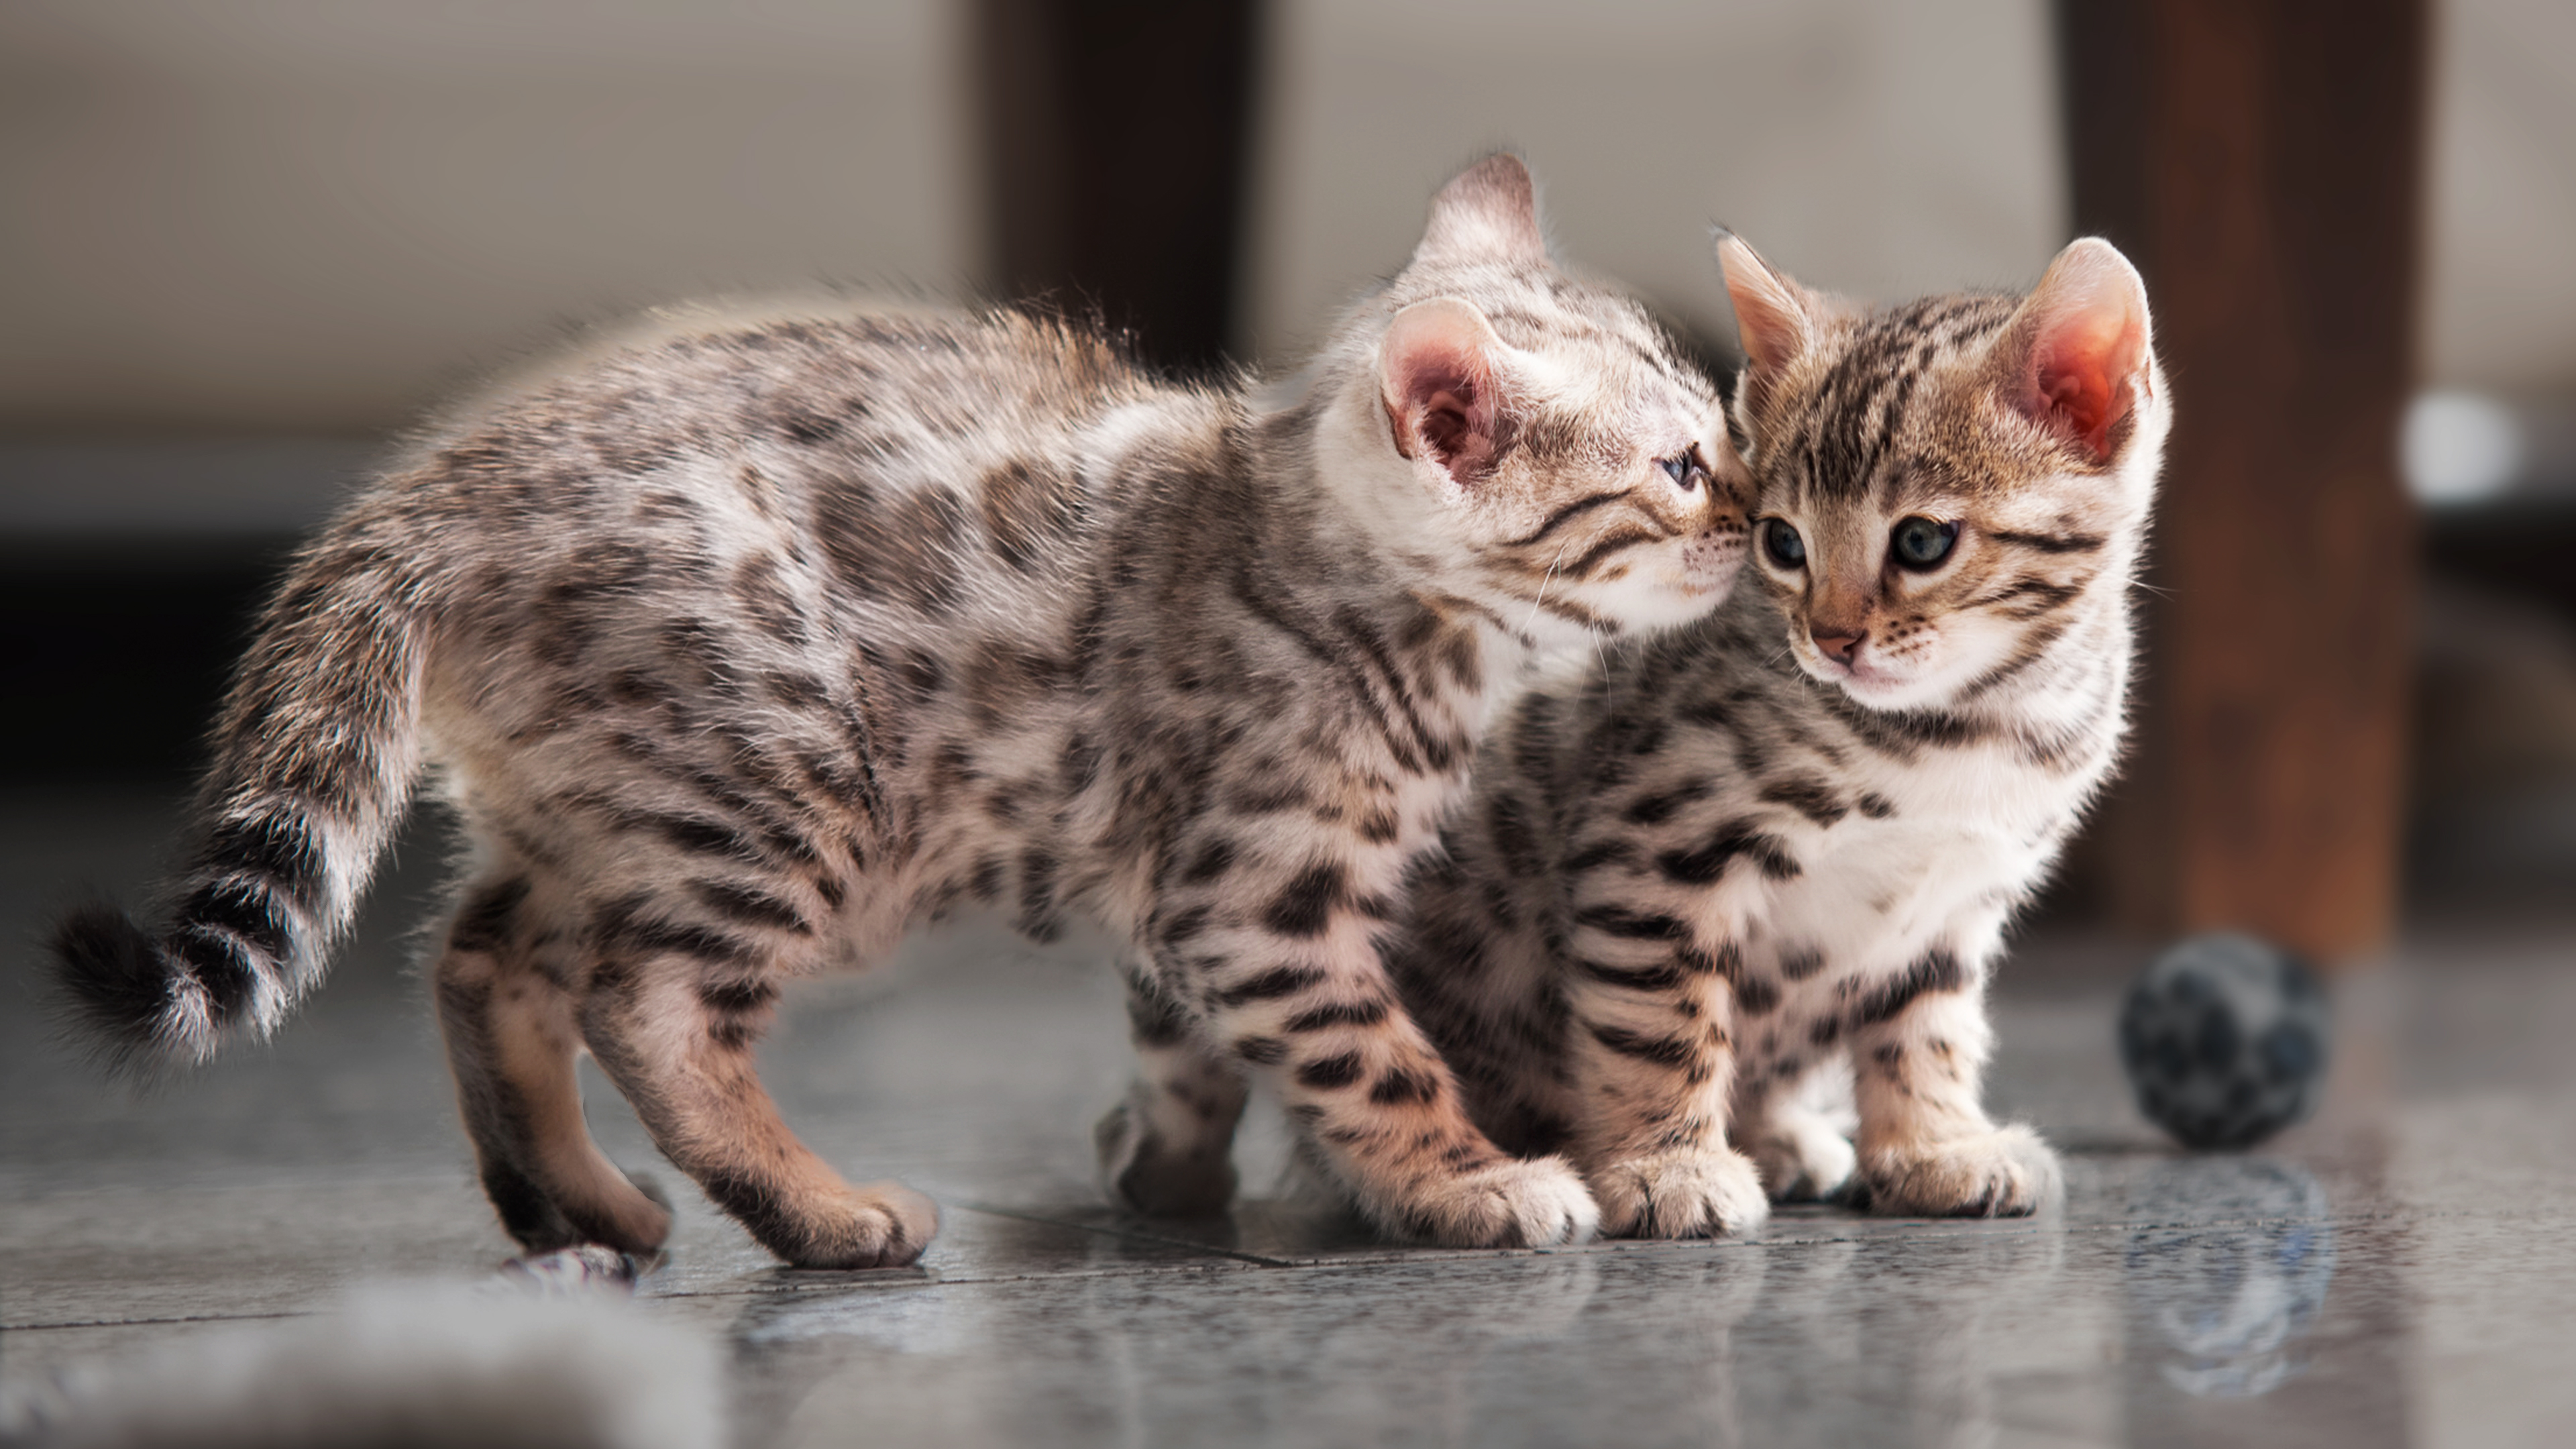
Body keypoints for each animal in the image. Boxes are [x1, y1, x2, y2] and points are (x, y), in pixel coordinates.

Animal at [50, 160, 1741, 1263]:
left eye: (1722, 436)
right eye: (1678, 468)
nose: (1756, 523)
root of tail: (442, 488)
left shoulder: (1183, 909)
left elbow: (1186, 1057)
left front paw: (1173, 1171)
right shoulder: (1252, 891)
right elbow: (1370, 1051)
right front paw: (1469, 1181)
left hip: (601, 803)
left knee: (480, 960)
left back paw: (583, 1207)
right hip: (779, 790)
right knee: (646, 1004)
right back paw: (823, 1211)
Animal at [1381, 234, 2163, 1227]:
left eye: (1921, 543)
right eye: (1783, 544)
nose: (1830, 640)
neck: (1965, 728)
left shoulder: (1954, 905)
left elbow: (1928, 1028)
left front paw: (1936, 1146)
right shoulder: (1652, 845)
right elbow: (1657, 1022)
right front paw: (1668, 1166)